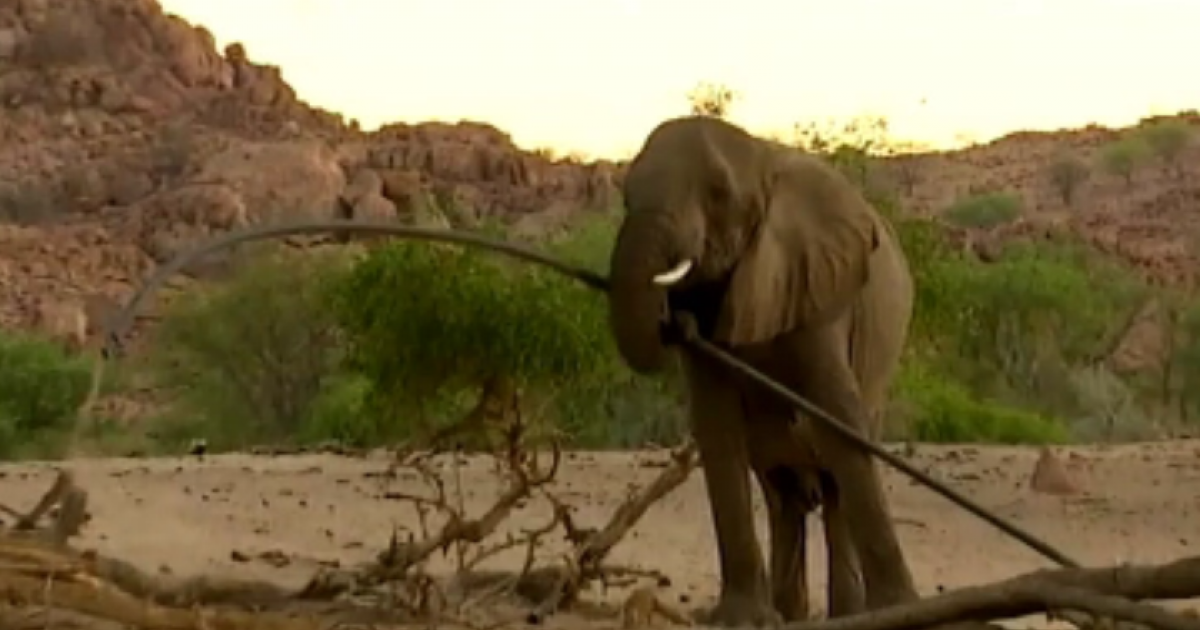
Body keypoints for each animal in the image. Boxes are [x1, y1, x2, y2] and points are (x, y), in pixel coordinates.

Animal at [607, 116, 919, 627]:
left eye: (719, 193)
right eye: (625, 195)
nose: (677, 320)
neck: (760, 154)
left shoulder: (820, 282)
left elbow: (839, 421)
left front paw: (902, 610)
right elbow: (717, 427)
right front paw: (740, 620)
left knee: (834, 488)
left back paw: (845, 614)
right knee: (781, 492)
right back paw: (789, 615)